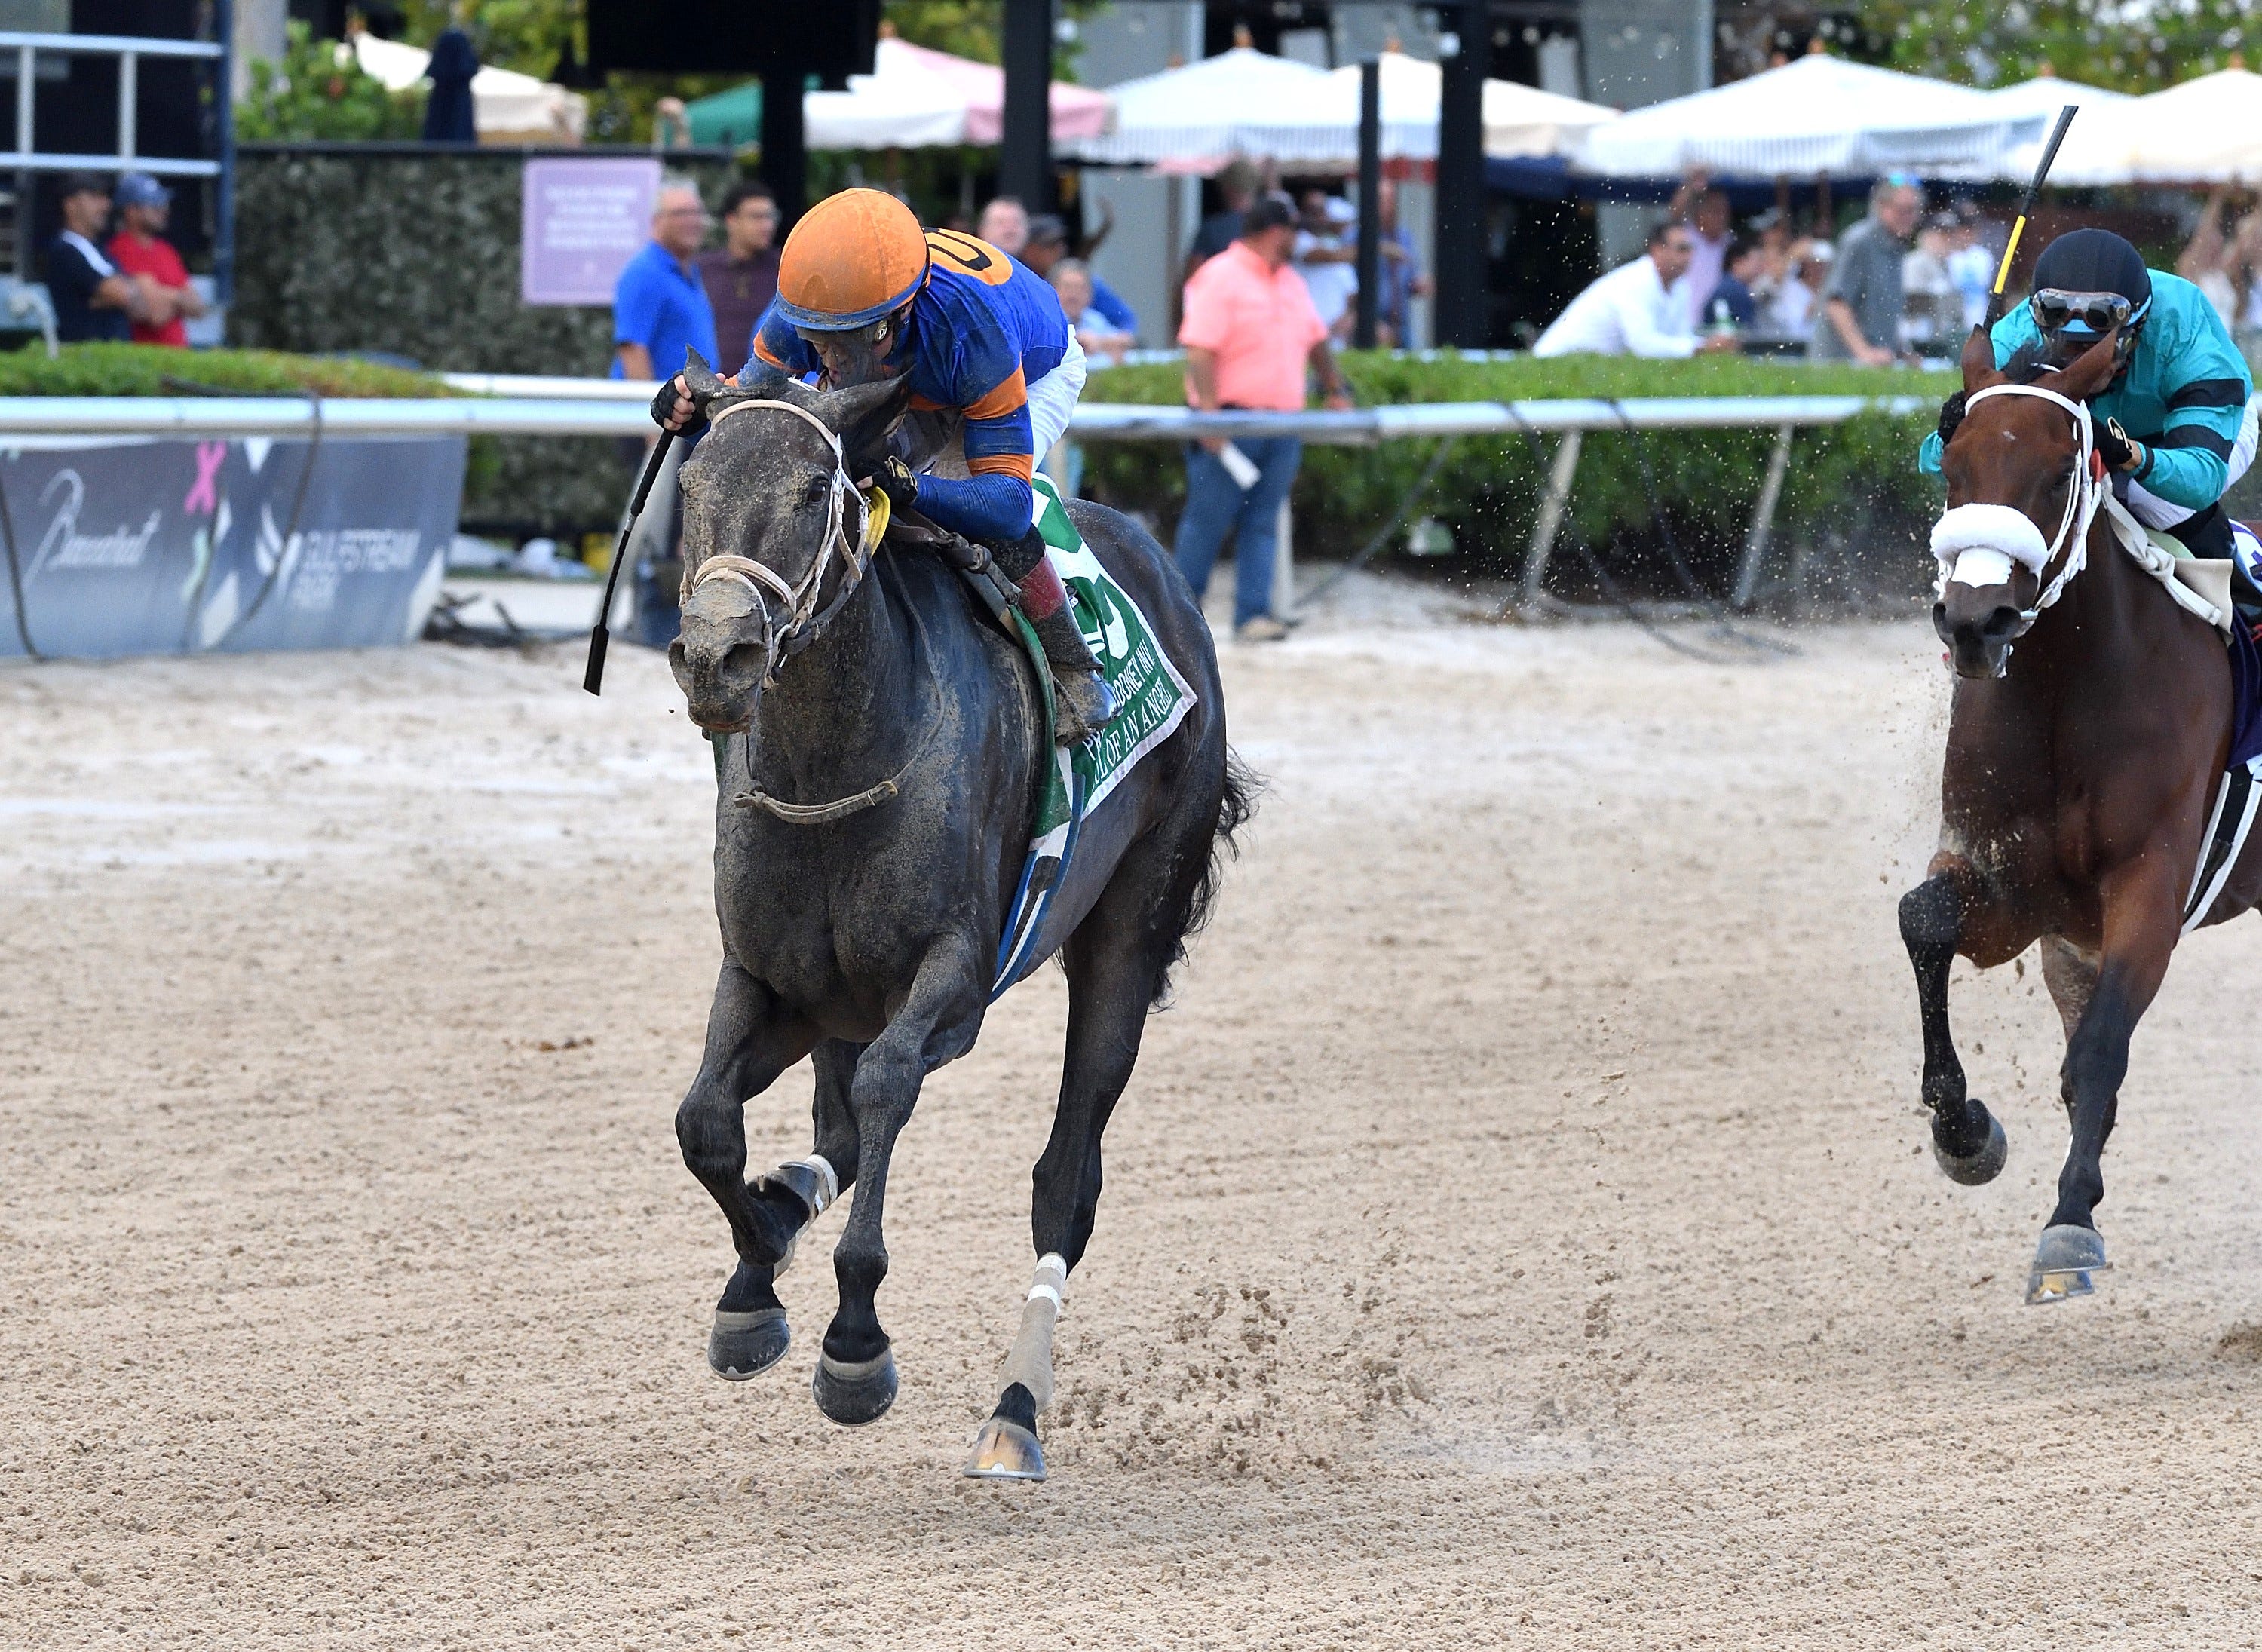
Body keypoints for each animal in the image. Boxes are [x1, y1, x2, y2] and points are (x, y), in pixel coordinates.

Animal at [660, 356, 1251, 1480]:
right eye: (691, 483)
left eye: (815, 488)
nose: (719, 656)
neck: (834, 761)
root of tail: (1161, 561)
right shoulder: (769, 978)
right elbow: (706, 1121)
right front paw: (754, 1280)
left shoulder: (954, 984)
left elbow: (889, 1088)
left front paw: (853, 1343)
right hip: (836, 1006)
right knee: (832, 1132)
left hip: (1128, 930)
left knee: (1064, 1183)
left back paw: (1015, 1411)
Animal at [1902, 323, 2262, 1303]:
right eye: (1952, 454)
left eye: (2062, 467)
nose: (1976, 622)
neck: (2066, 687)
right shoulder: (2023, 893)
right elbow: (1925, 919)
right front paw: (1967, 1134)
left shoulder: (2151, 883)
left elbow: (2100, 1049)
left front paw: (2067, 1229)